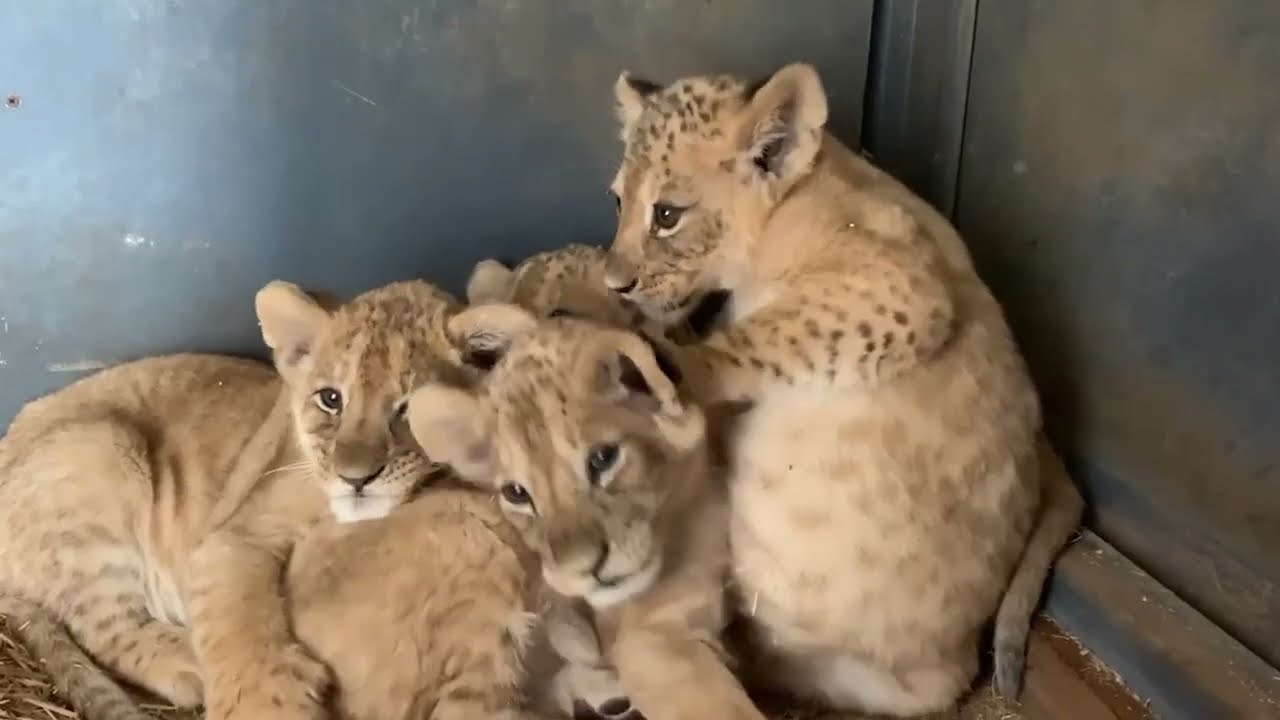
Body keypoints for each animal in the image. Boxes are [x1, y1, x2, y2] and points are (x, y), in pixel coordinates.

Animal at [597, 63, 1084, 715]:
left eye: (668, 215)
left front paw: (669, 365)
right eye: (618, 200)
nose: (614, 284)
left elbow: (766, 337)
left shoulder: (903, 290)